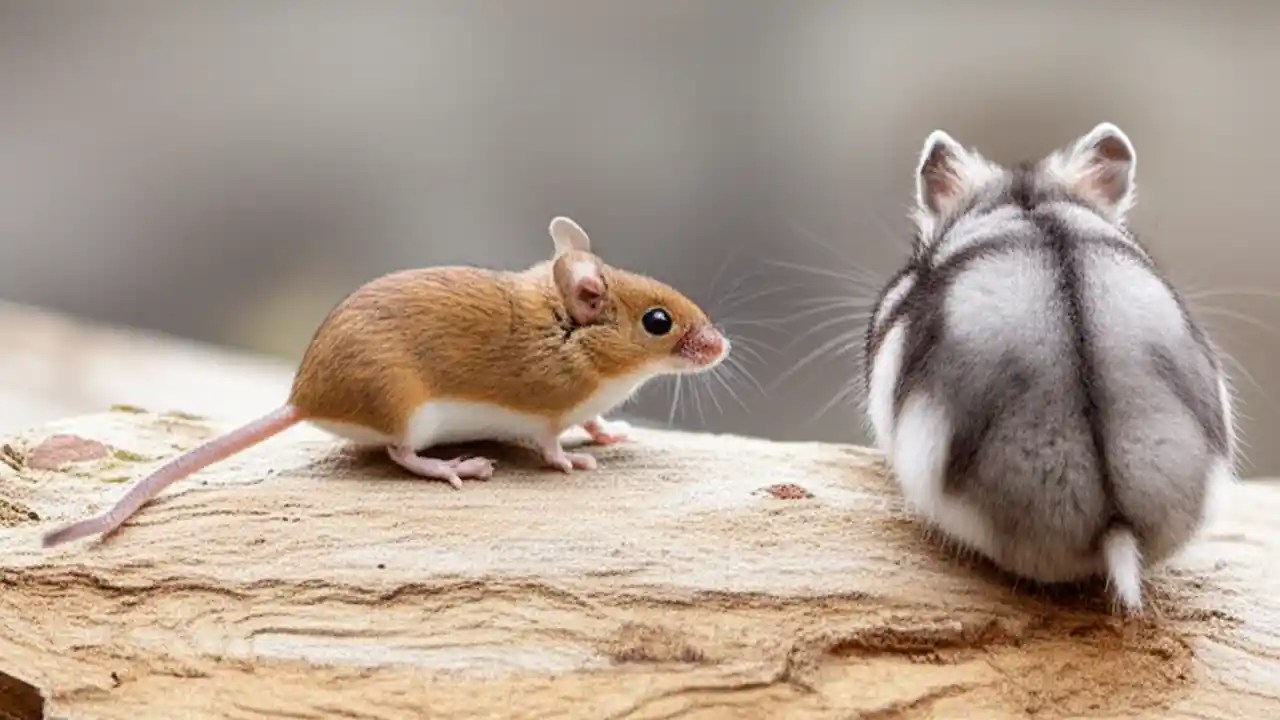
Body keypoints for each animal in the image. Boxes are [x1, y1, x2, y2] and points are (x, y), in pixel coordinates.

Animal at [42, 216, 730, 548]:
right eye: (659, 322)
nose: (723, 346)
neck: (576, 340)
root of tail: (299, 401)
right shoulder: (544, 418)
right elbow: (554, 447)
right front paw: (578, 464)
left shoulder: (585, 405)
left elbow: (595, 420)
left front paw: (614, 436)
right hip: (408, 409)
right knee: (401, 454)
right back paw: (460, 467)